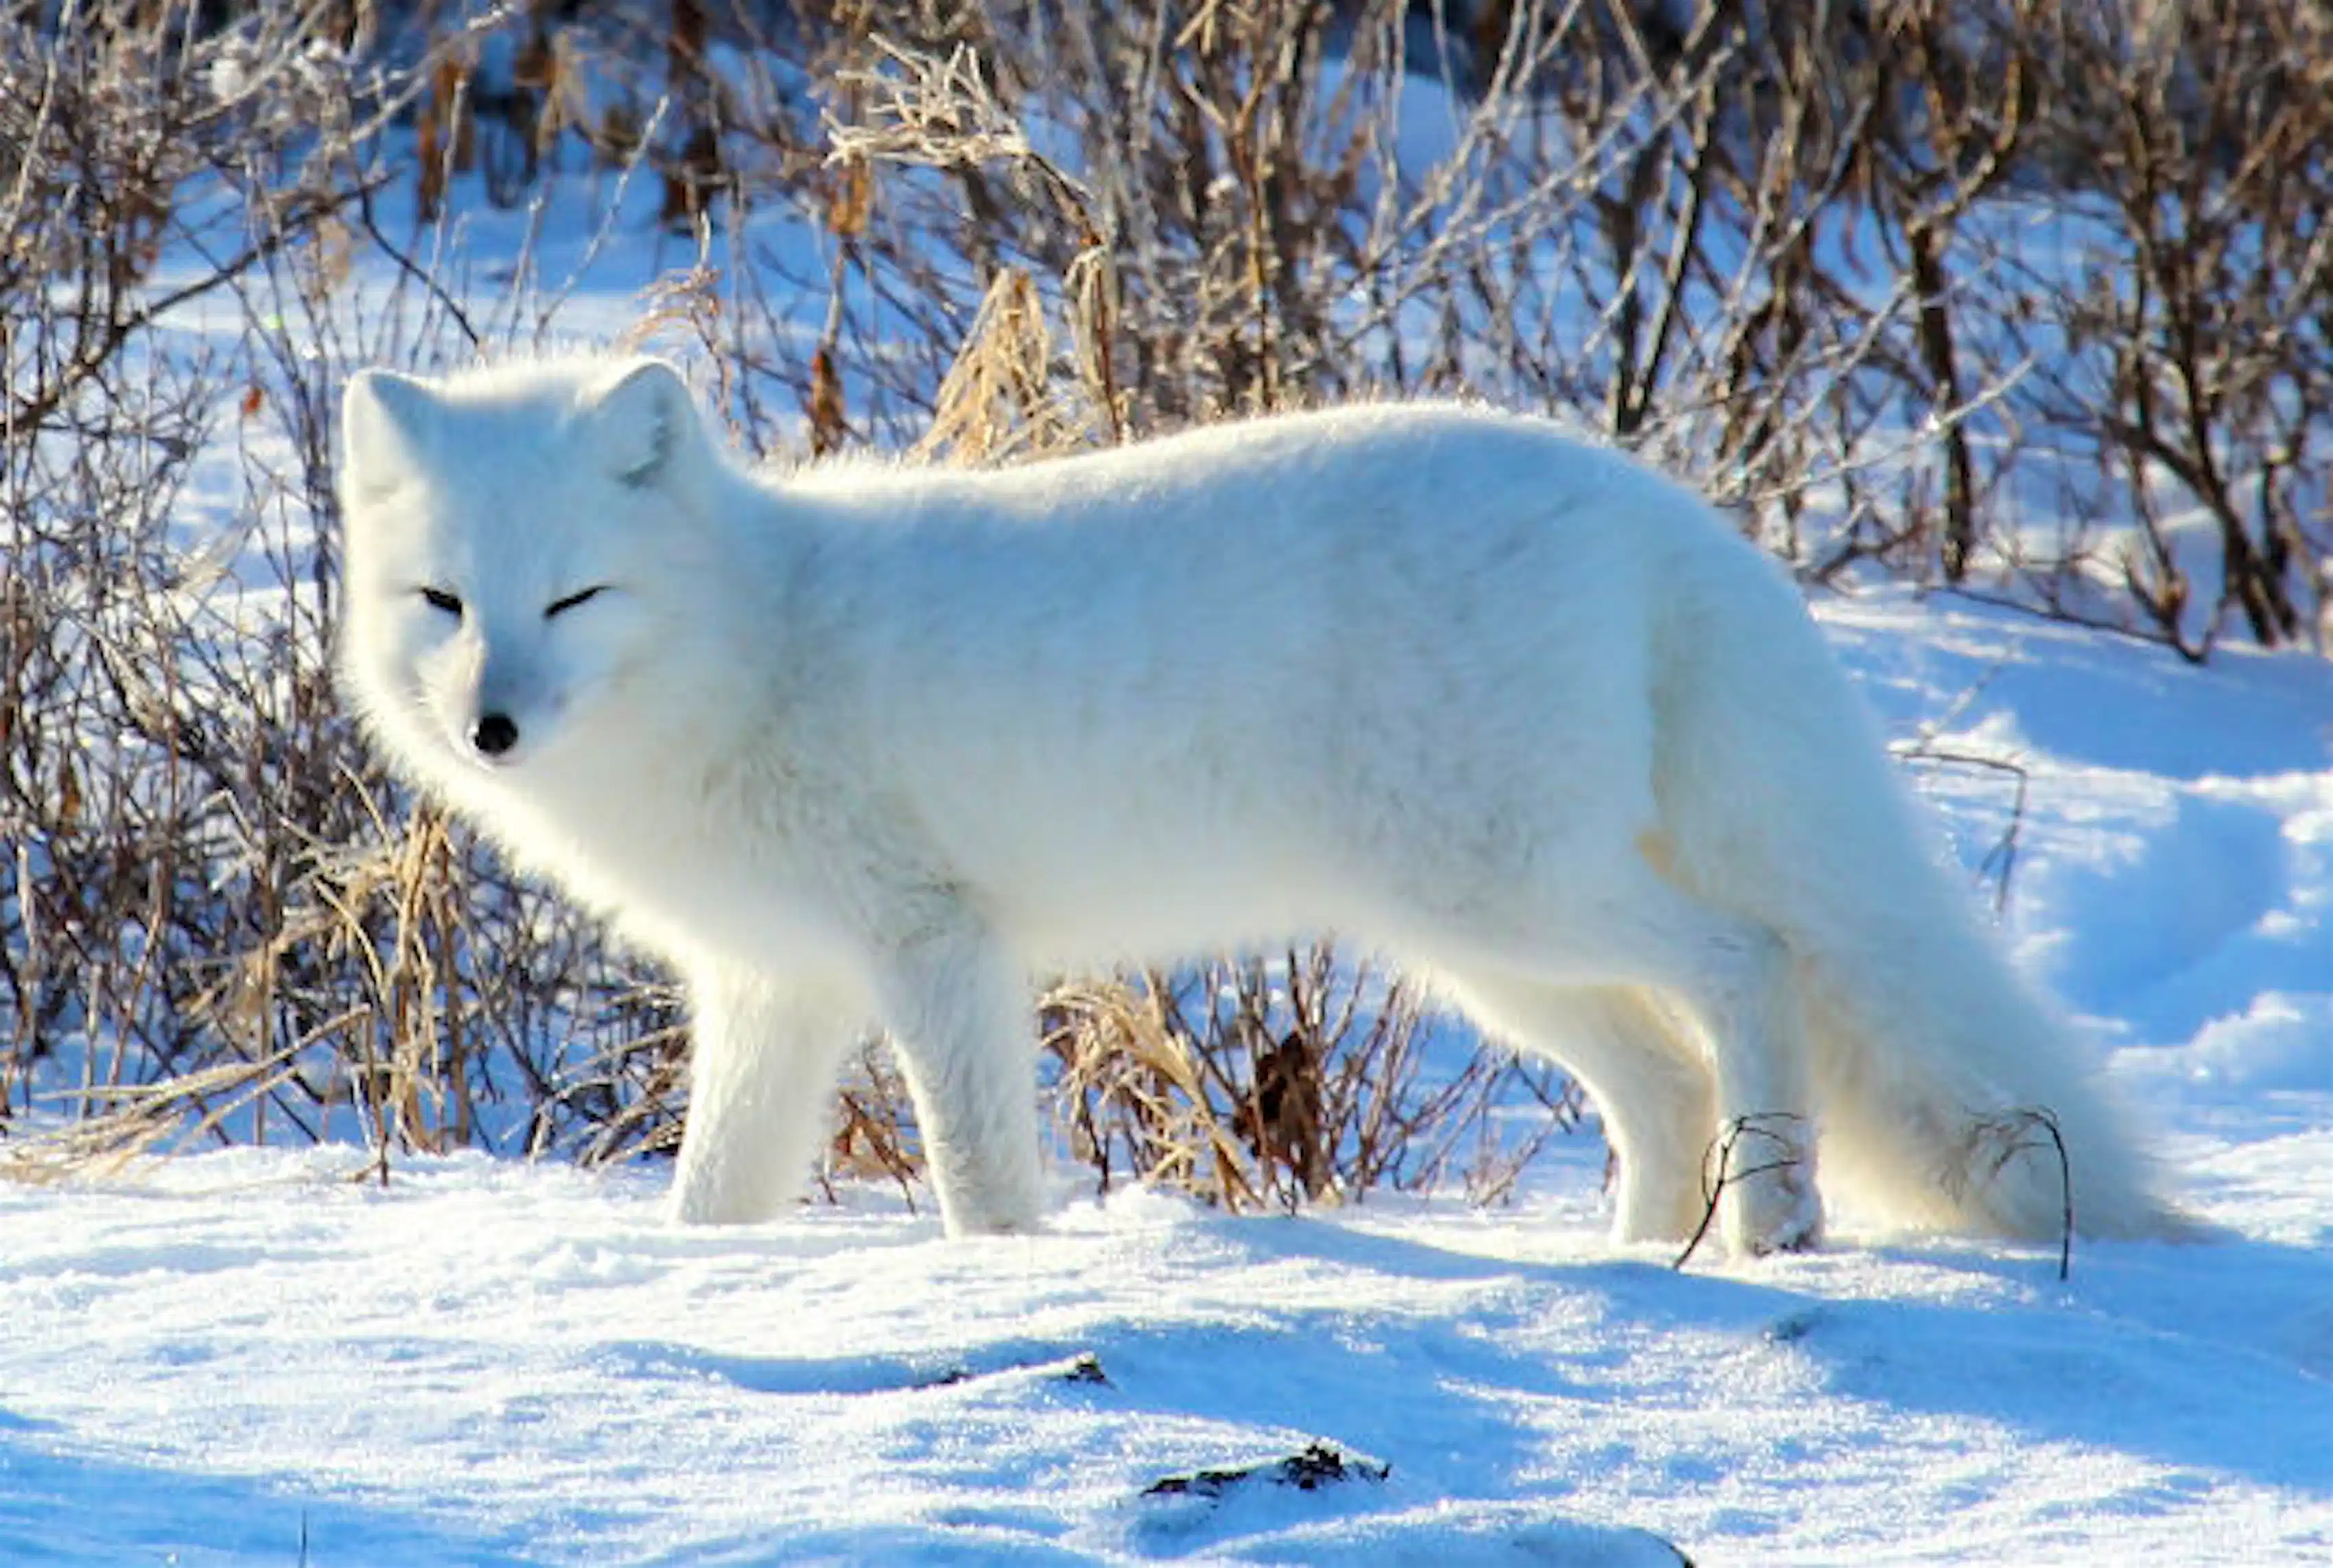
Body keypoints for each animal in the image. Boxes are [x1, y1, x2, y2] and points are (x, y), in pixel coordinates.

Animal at [335, 355, 2190, 1255]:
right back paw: (1617, 1269)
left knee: (1749, 963)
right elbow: (713, 1192)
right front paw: (687, 1281)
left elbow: (973, 1167)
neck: (755, 638)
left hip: (1509, 899)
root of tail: (1657, 510)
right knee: (1661, 1074)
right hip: (1480, 945)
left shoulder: (935, 945)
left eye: (573, 598)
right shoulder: (774, 983)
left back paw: (1776, 1221)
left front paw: (996, 1284)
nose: (491, 725)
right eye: (445, 602)